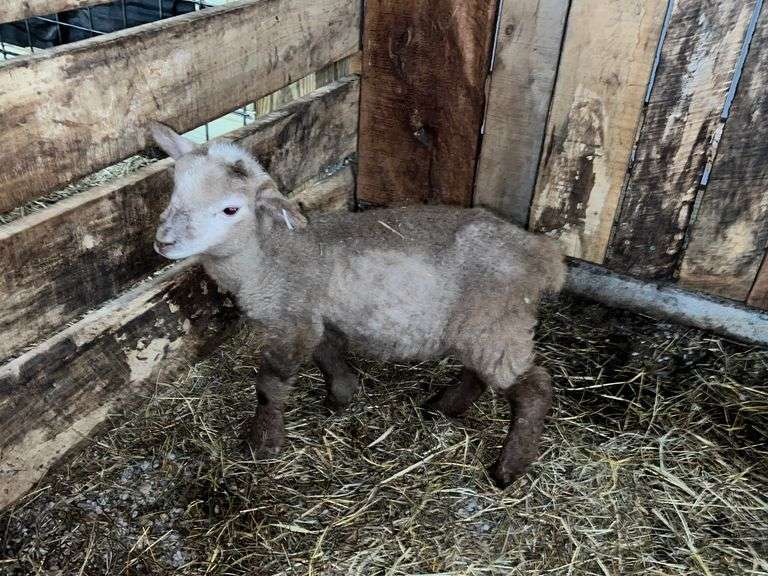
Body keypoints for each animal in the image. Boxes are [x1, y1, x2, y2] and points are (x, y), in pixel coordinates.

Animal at [150, 121, 566, 487]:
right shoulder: (320, 317)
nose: (163, 241)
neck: (270, 253)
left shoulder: (293, 321)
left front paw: (263, 443)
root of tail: (540, 254)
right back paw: (444, 407)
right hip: (480, 327)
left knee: (535, 389)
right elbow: (328, 355)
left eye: (231, 209)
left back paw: (508, 467)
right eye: (174, 190)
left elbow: (269, 385)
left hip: (497, 324)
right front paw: (342, 394)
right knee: (479, 373)